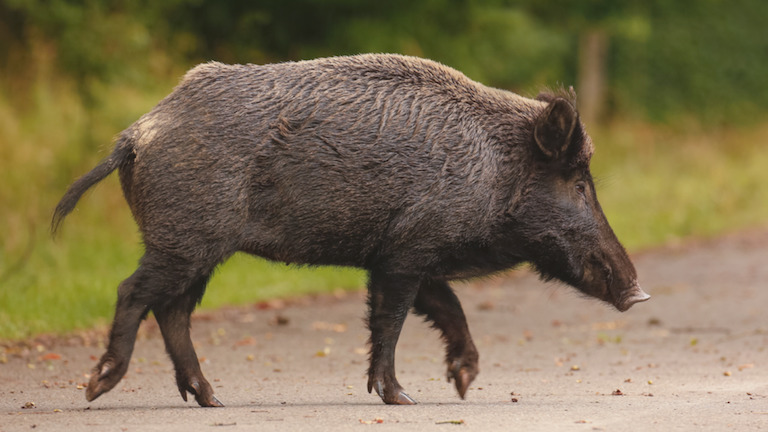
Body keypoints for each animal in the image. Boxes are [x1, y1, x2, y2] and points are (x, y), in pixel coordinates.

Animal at [52, 54, 649, 407]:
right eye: (578, 185)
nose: (638, 292)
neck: (491, 171)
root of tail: (136, 134)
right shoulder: (407, 252)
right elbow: (391, 320)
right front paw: (401, 397)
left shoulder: (405, 253)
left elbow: (445, 307)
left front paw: (462, 382)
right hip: (186, 236)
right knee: (135, 292)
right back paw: (97, 387)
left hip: (195, 247)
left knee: (173, 309)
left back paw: (211, 400)